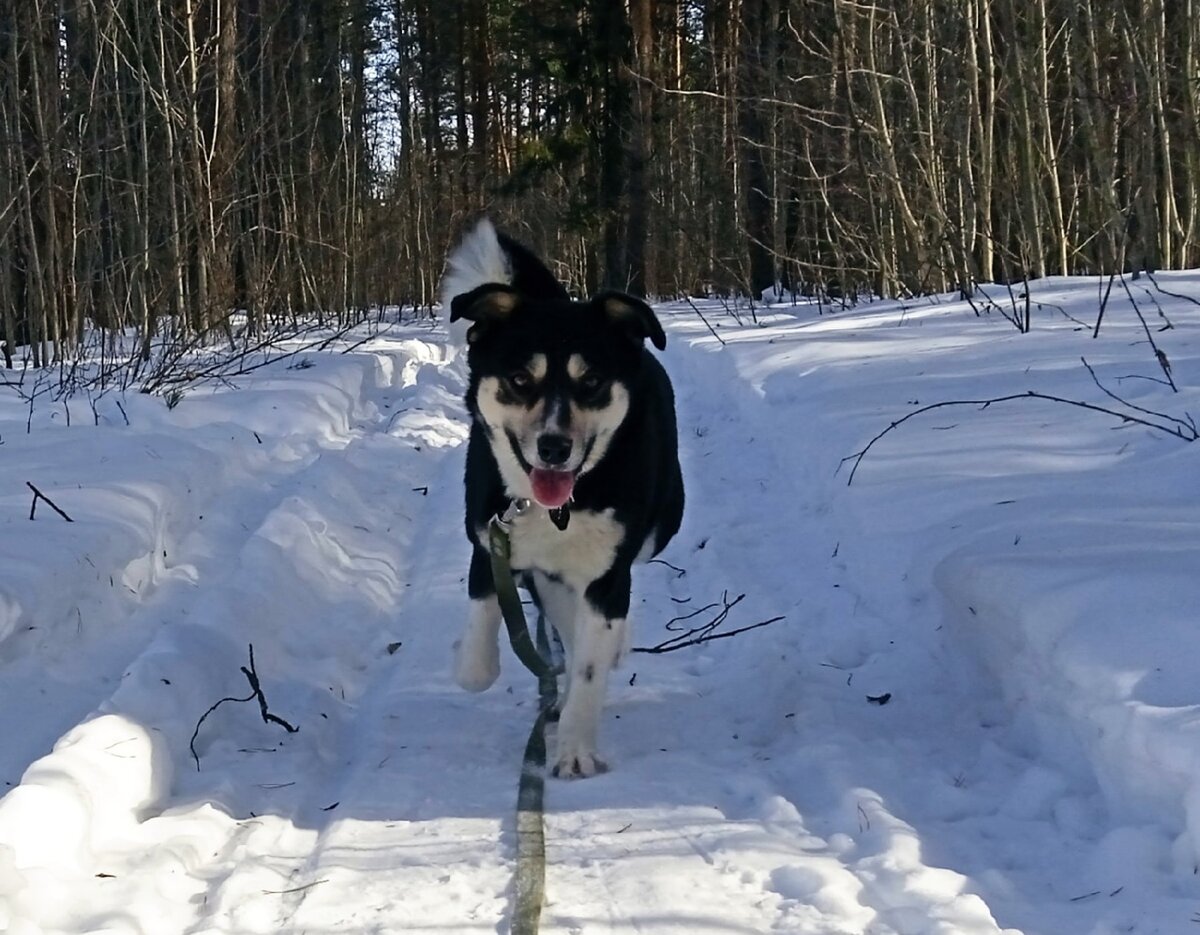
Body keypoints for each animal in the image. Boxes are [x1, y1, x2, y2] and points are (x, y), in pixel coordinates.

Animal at [441, 223, 686, 777]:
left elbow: (591, 665)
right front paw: (470, 656)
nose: (554, 446)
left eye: (590, 381)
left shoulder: (605, 573)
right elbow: (477, 658)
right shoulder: (491, 539)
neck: (554, 509)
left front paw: (576, 751)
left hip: (664, 519)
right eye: (519, 379)